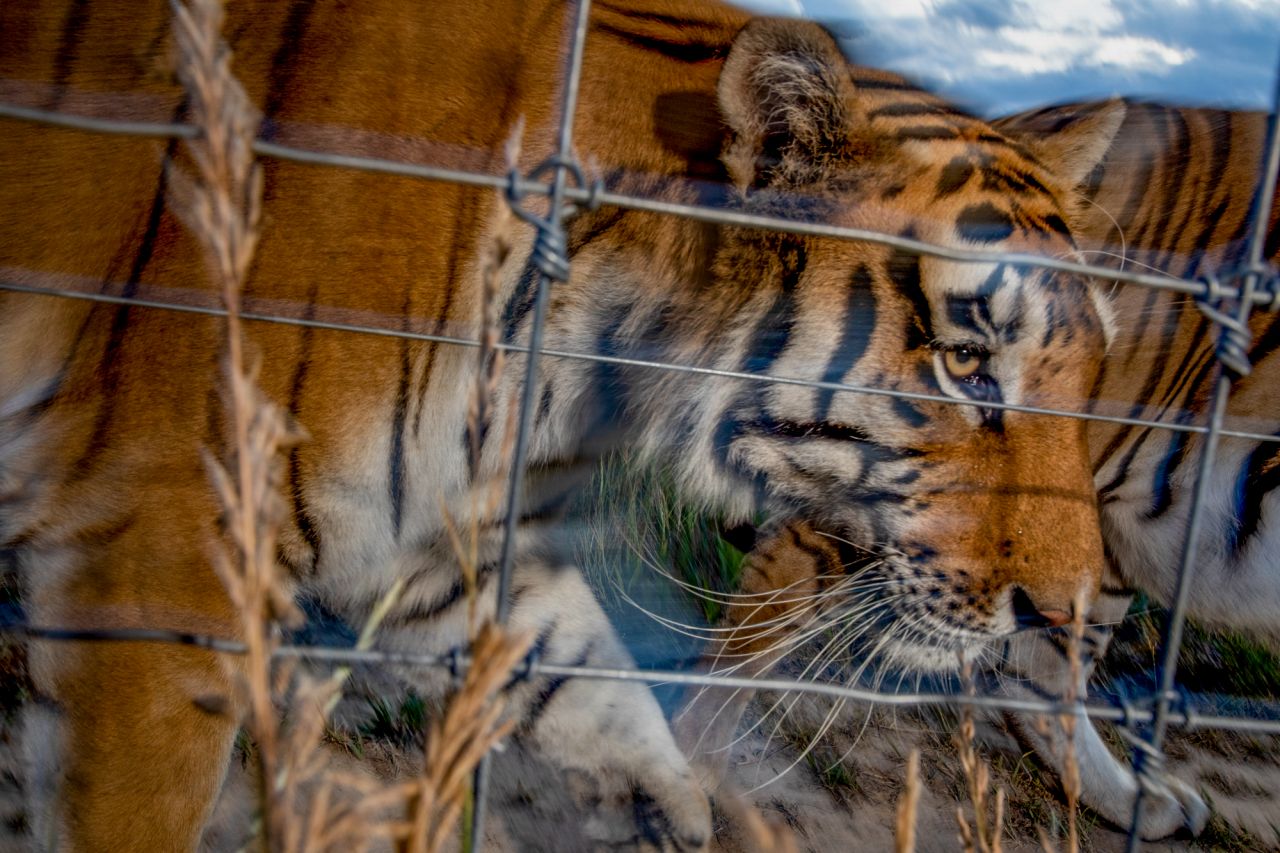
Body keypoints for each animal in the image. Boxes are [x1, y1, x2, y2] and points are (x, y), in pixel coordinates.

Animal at [0, 0, 1132, 848]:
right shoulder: (160, 558)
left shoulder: (436, 535)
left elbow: (584, 673)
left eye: (1084, 372)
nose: (1068, 613)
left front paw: (672, 807)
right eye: (966, 361)